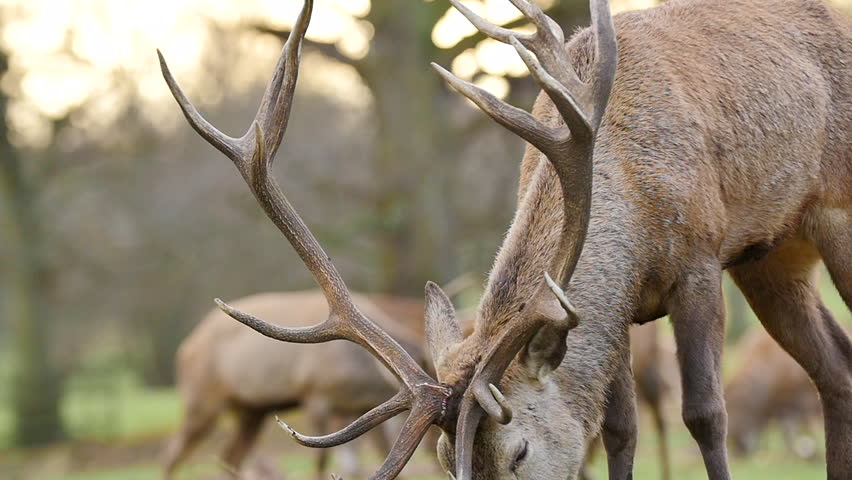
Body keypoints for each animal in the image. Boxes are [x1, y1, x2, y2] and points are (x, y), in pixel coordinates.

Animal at [162, 291, 433, 480]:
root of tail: (185, 347)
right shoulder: (315, 394)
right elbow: (322, 459)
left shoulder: (362, 405)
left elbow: (376, 453)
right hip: (201, 398)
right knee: (172, 453)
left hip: (251, 410)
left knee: (231, 456)